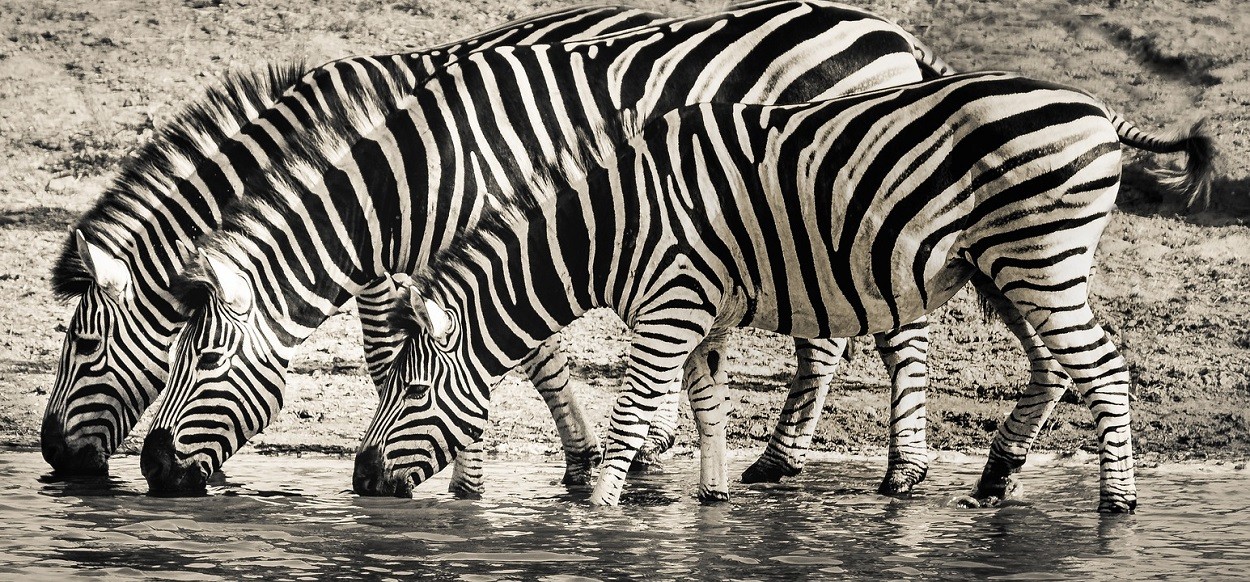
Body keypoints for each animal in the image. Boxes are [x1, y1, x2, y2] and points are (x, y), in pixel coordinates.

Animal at [137, 0, 982, 496]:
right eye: (166, 353)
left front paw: (475, 480)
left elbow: (487, 351)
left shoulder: (482, 235)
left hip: (863, 211)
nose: (149, 467)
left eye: (203, 360)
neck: (413, 173)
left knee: (898, 334)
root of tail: (896, 36)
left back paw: (901, 471)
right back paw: (776, 460)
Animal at [355, 70, 1212, 509]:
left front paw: (594, 509)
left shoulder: (670, 307)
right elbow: (706, 406)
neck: (610, 228)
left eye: (410, 391)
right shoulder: (697, 312)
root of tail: (1099, 107)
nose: (359, 482)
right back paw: (996, 479)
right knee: (1059, 366)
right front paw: (709, 501)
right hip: (1007, 267)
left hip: (1039, 257)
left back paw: (1116, 506)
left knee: (1103, 369)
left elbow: (632, 416)